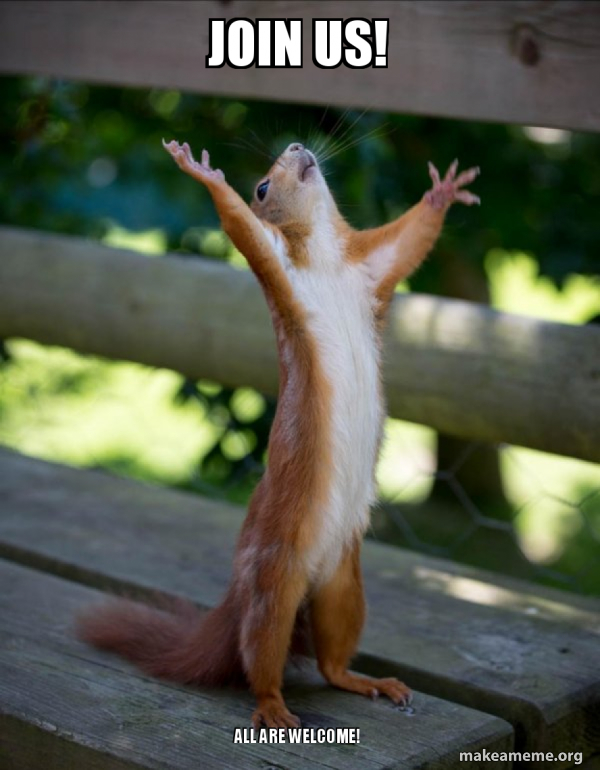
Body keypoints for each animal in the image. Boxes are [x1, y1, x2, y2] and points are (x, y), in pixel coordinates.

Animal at [77, 138, 480, 729]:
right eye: (262, 187)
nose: (296, 146)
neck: (326, 257)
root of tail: (240, 595)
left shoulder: (371, 267)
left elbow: (410, 240)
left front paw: (443, 192)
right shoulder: (277, 265)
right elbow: (240, 226)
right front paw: (204, 174)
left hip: (344, 587)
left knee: (331, 662)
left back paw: (368, 680)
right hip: (273, 585)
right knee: (260, 657)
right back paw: (274, 707)